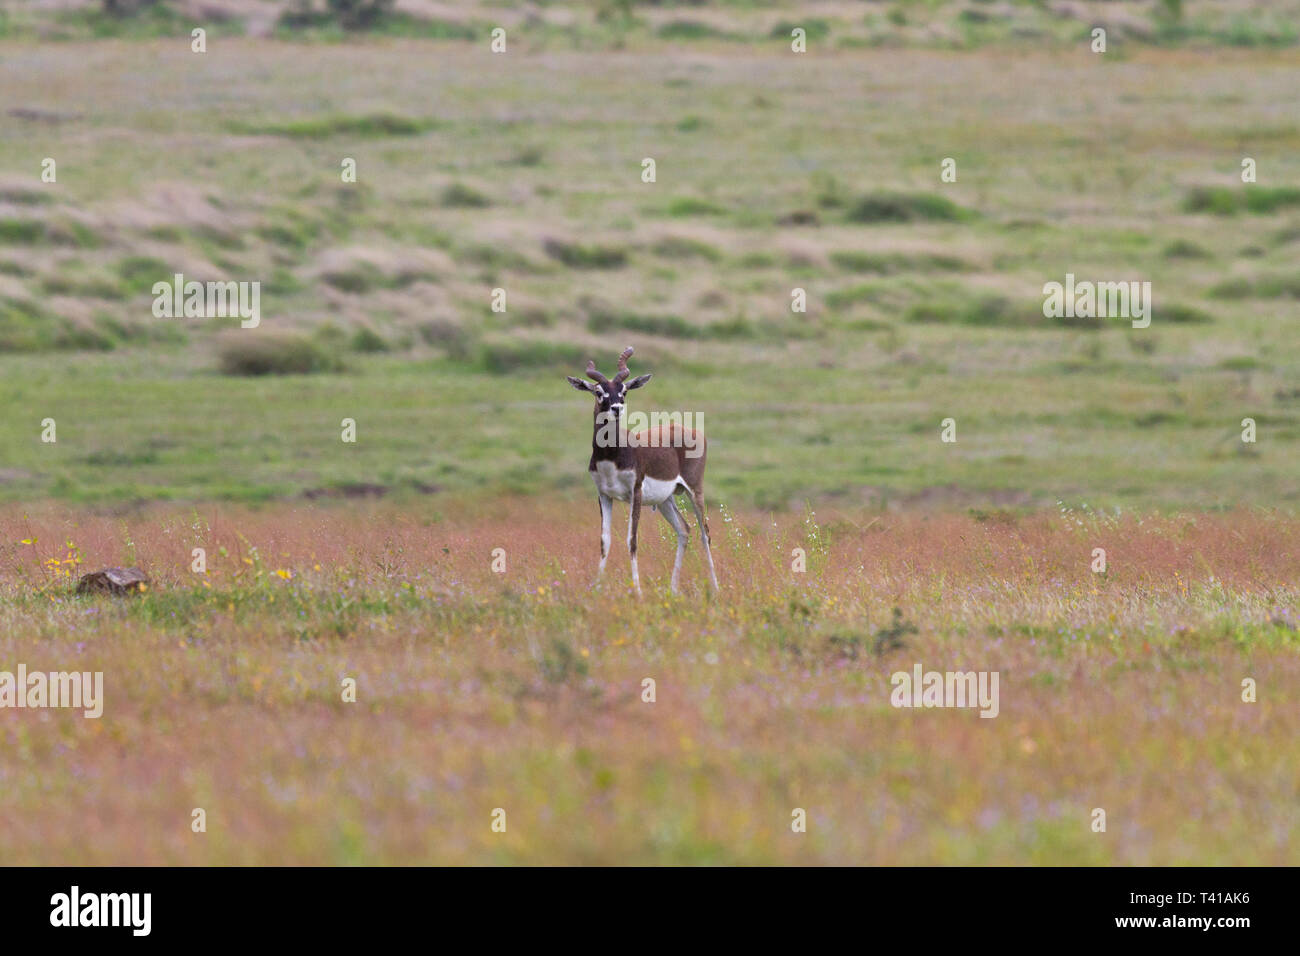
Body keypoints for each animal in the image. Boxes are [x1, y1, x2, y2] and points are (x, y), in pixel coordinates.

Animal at [566, 347, 719, 597]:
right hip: (666, 500)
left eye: (624, 390)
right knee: (684, 530)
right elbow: (605, 541)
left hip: (695, 490)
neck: (611, 457)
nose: (617, 408)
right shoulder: (603, 495)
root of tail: (693, 431)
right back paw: (673, 589)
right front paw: (596, 588)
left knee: (705, 532)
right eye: (599, 392)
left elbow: (632, 540)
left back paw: (716, 588)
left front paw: (637, 591)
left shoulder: (634, 493)